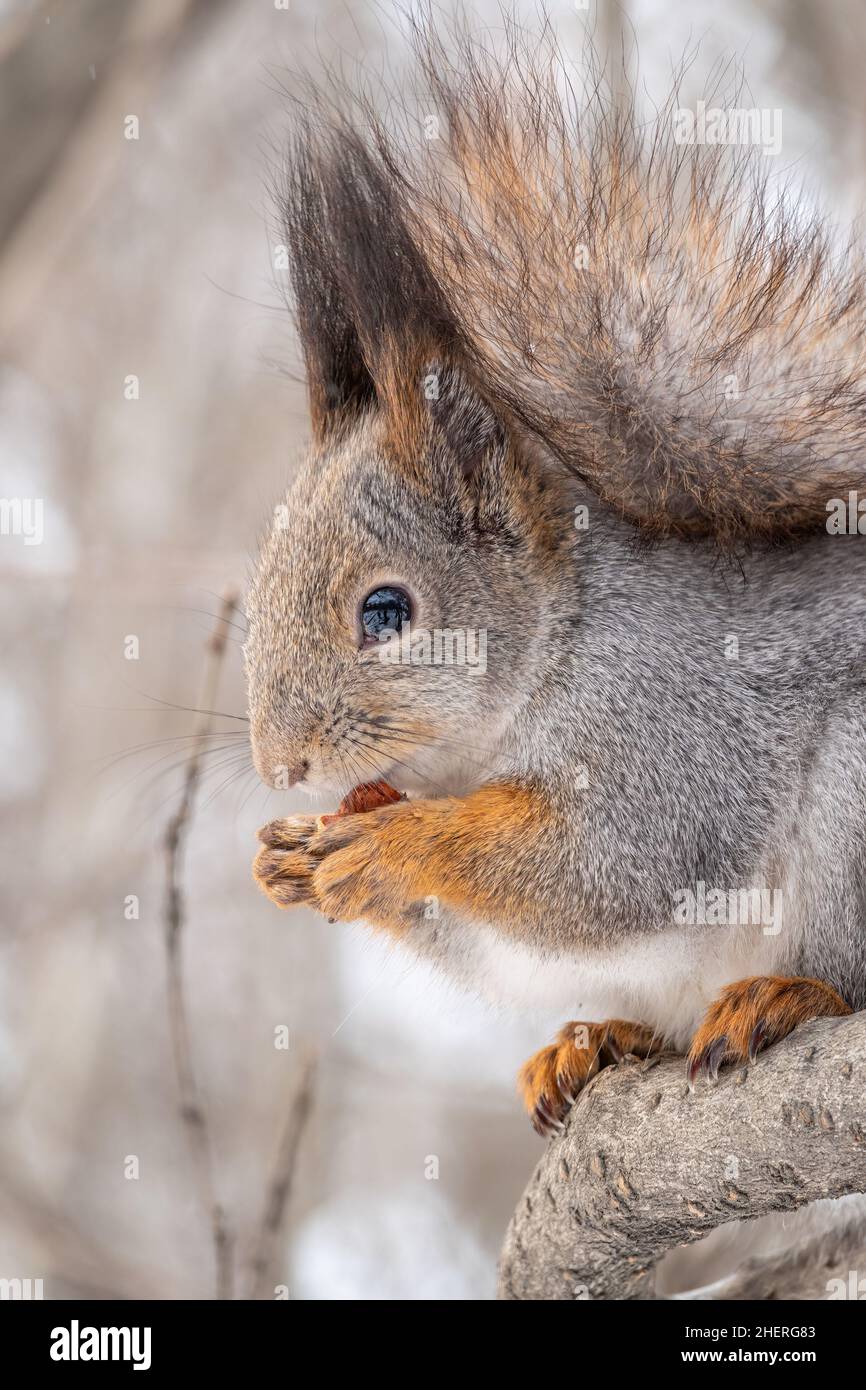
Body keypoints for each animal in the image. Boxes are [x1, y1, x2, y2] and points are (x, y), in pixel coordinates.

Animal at [246, 16, 865, 1137]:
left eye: (386, 610)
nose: (281, 765)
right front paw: (296, 854)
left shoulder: (671, 725)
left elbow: (607, 862)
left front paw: (399, 843)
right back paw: (590, 1042)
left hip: (856, 790)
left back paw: (787, 992)